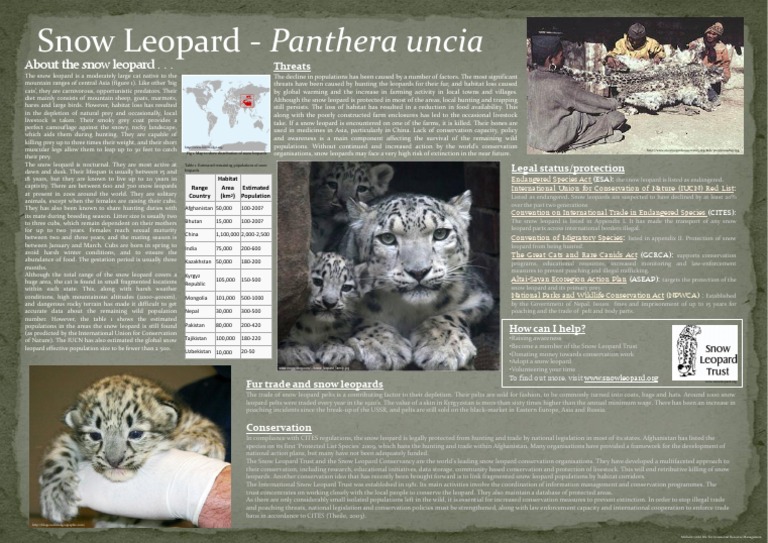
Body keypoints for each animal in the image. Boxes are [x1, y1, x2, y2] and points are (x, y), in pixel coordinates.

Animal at [39, 374, 225, 524]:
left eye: (135, 433)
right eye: (95, 435)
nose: (114, 461)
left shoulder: (189, 418)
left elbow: (206, 425)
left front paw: (204, 443)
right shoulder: (67, 437)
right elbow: (58, 454)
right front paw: (57, 499)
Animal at [343, 190, 493, 371]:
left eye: (440, 234)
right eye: (387, 238)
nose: (419, 272)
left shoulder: (481, 298)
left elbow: (454, 313)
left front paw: (443, 347)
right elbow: (356, 318)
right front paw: (383, 345)